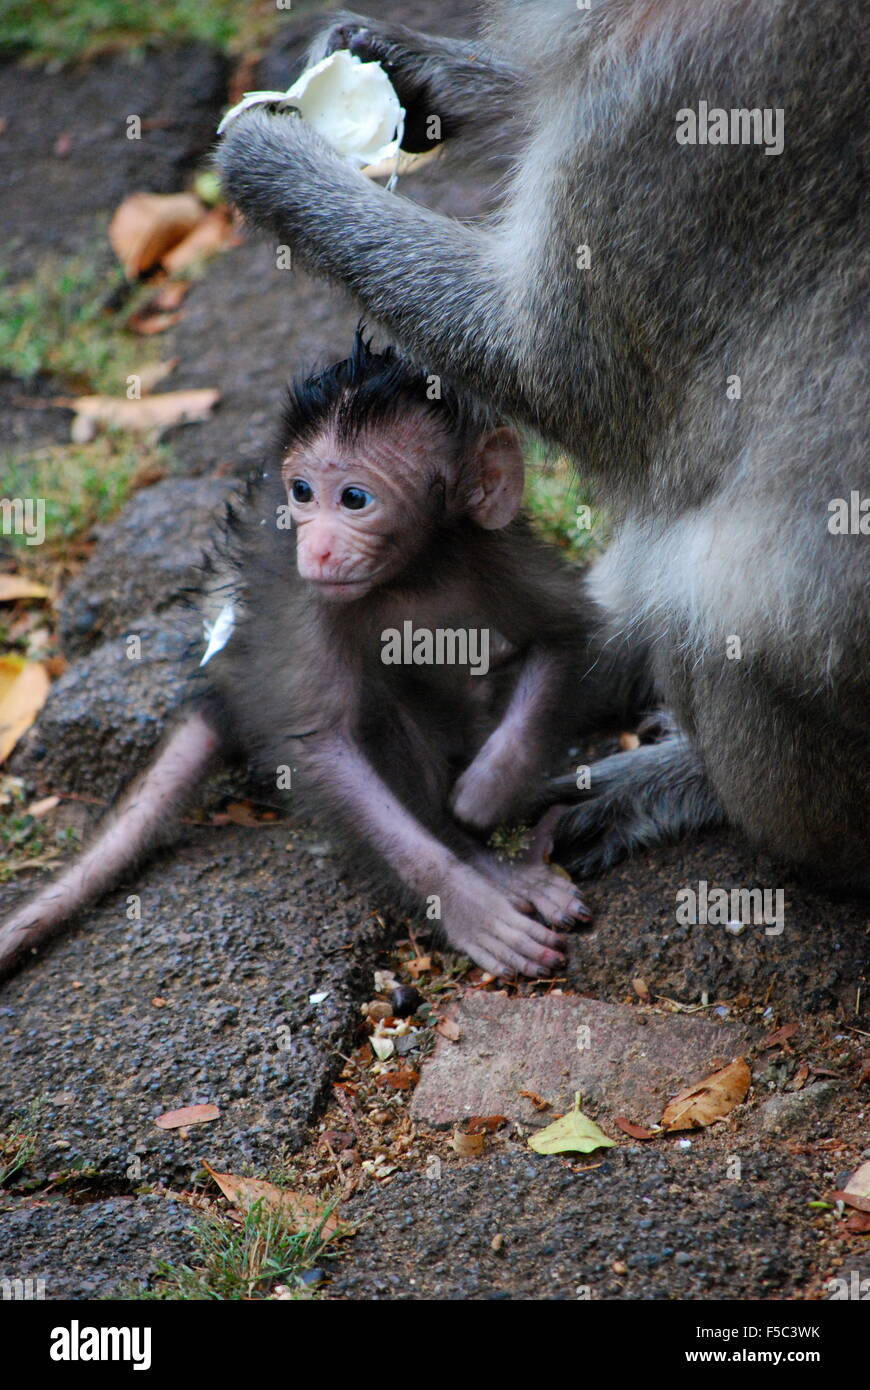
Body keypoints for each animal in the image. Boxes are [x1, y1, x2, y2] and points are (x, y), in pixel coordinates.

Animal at [0, 333, 598, 983]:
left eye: (355, 498)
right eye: (302, 492)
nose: (318, 547)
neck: (415, 575)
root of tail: (224, 686)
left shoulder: (496, 552)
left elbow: (562, 636)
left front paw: (489, 789)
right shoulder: (311, 601)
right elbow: (325, 745)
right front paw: (465, 900)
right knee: (376, 711)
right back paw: (489, 866)